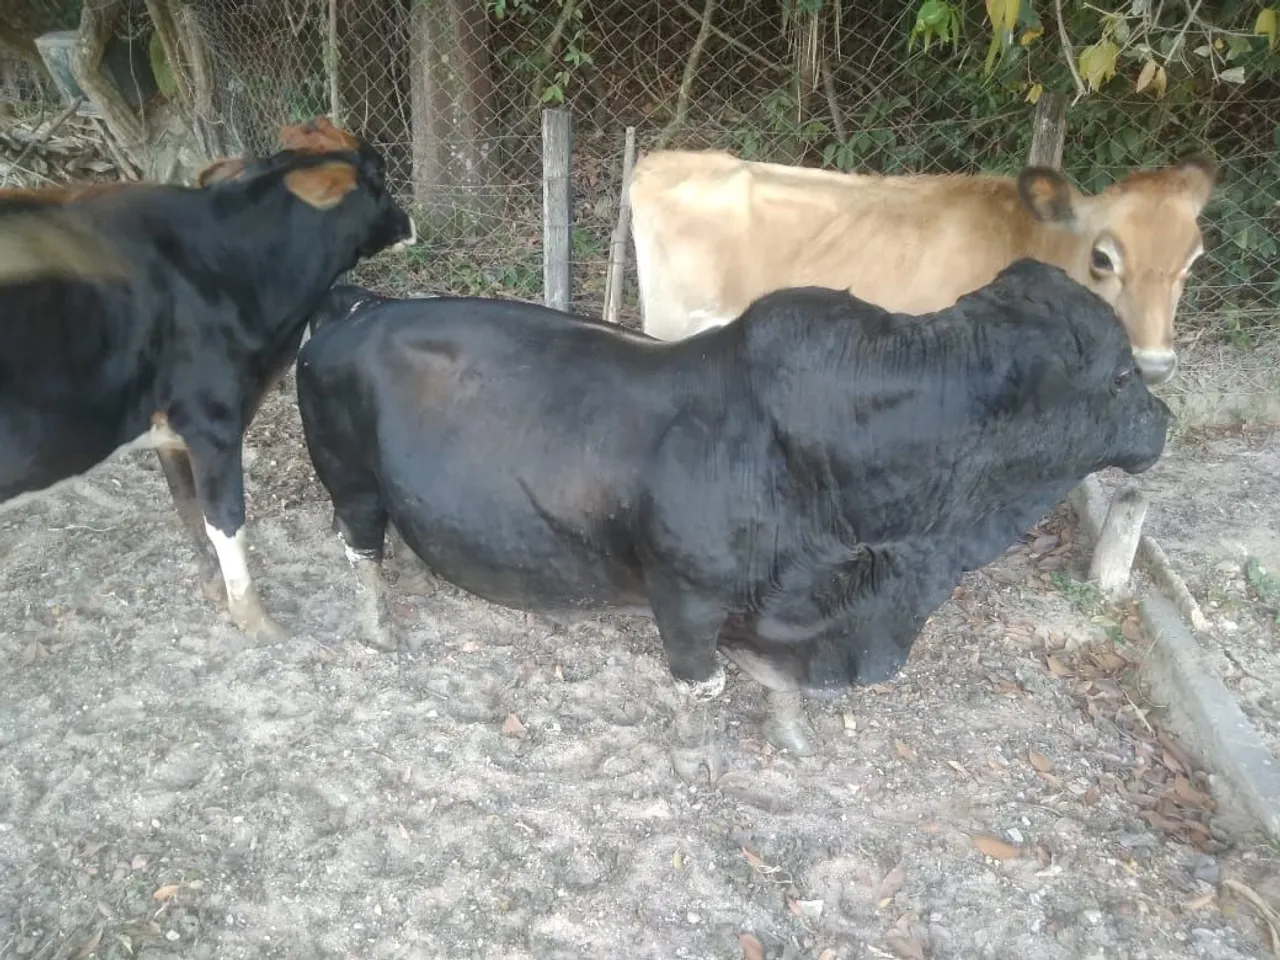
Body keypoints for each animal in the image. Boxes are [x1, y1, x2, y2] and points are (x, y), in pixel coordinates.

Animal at [0, 116, 416, 641]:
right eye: (380, 176)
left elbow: (189, 510)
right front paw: (257, 622)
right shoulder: (211, 421)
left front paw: (215, 591)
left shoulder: (171, 433)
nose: (409, 223)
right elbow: (226, 520)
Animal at [294, 259, 1170, 764]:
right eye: (1122, 374)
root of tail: (356, 306)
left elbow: (777, 680)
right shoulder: (684, 594)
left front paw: (791, 736)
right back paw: (377, 628)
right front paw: (695, 757)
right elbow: (700, 685)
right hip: (349, 481)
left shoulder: (783, 608)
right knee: (359, 552)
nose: (1165, 419)